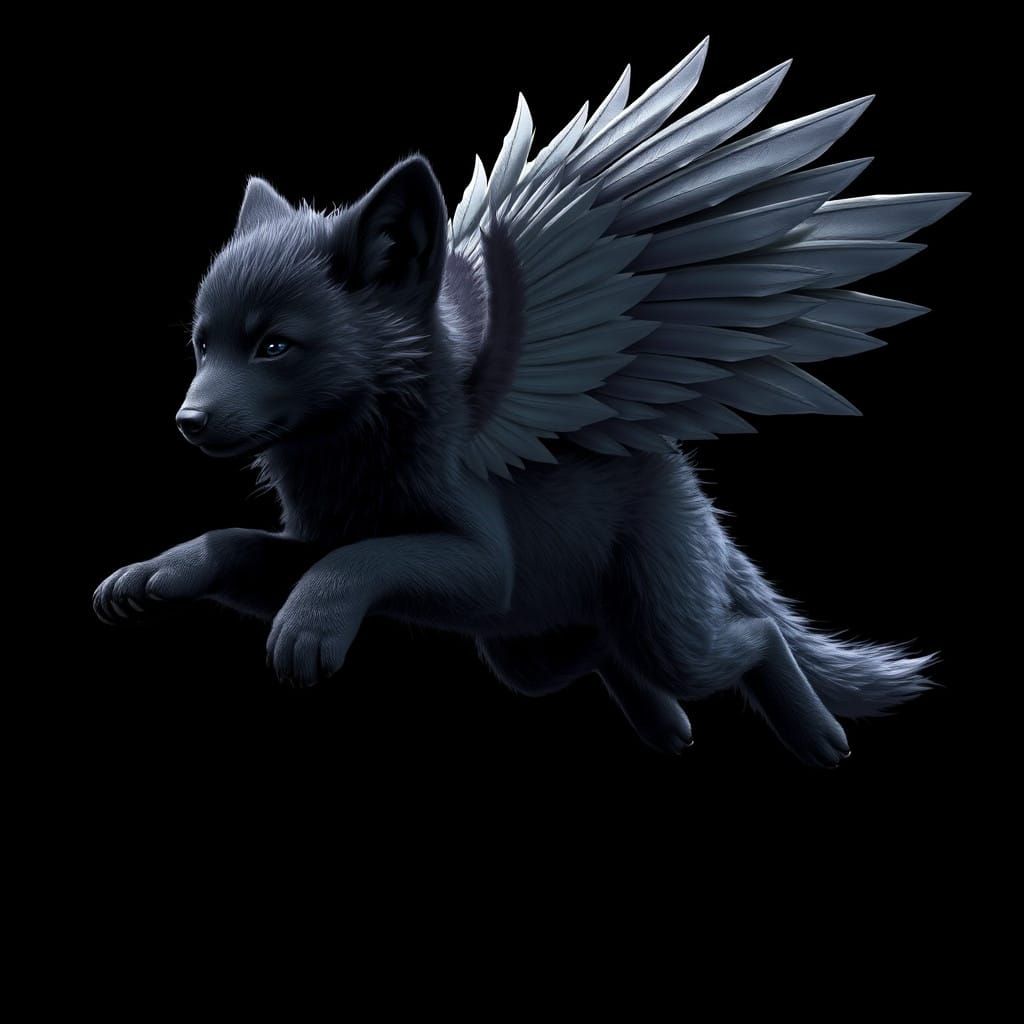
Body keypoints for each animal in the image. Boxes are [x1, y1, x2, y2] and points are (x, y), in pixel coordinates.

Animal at [93, 39, 967, 765]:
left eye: (274, 347)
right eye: (203, 346)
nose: (187, 422)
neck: (357, 446)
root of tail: (685, 486)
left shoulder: (482, 563)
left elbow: (361, 560)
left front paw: (307, 630)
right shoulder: (318, 539)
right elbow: (235, 542)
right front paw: (154, 573)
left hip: (656, 626)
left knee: (744, 637)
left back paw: (817, 737)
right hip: (529, 653)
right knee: (600, 653)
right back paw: (668, 730)